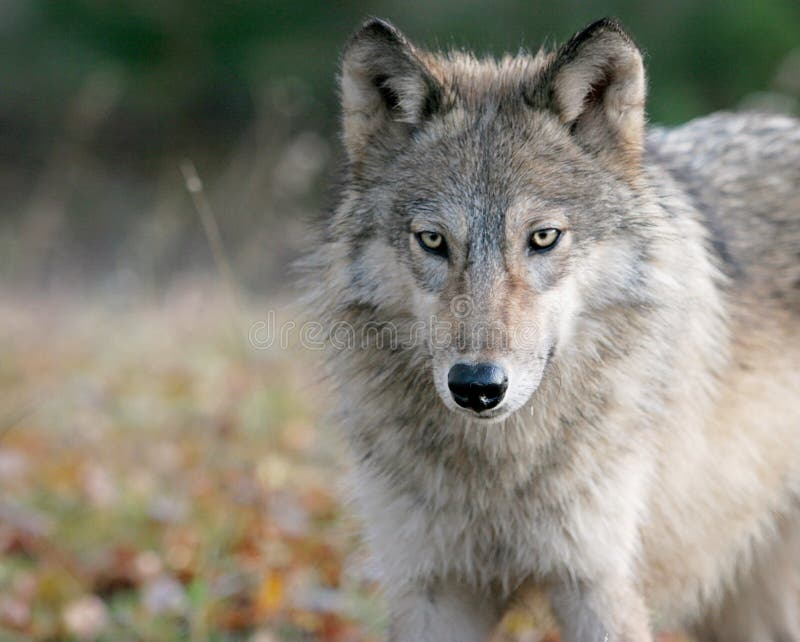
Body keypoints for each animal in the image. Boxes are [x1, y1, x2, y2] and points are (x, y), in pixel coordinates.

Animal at [305, 16, 800, 642]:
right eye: (433, 240)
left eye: (542, 237)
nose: (477, 386)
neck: (499, 470)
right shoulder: (436, 589)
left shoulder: (597, 585)